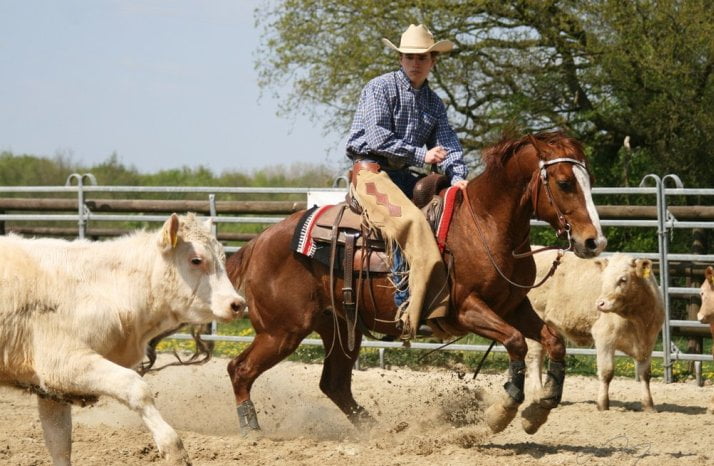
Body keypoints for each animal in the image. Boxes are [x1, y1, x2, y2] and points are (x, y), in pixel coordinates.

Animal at [225, 131, 607, 435]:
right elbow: (515, 342)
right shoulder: (466, 310)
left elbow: (554, 341)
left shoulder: (514, 306)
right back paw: (251, 428)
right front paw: (502, 412)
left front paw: (539, 410)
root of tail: (258, 243)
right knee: (240, 369)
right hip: (281, 331)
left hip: (339, 328)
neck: (484, 225)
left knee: (334, 384)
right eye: (564, 183)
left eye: (587, 179)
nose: (594, 242)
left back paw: (378, 431)